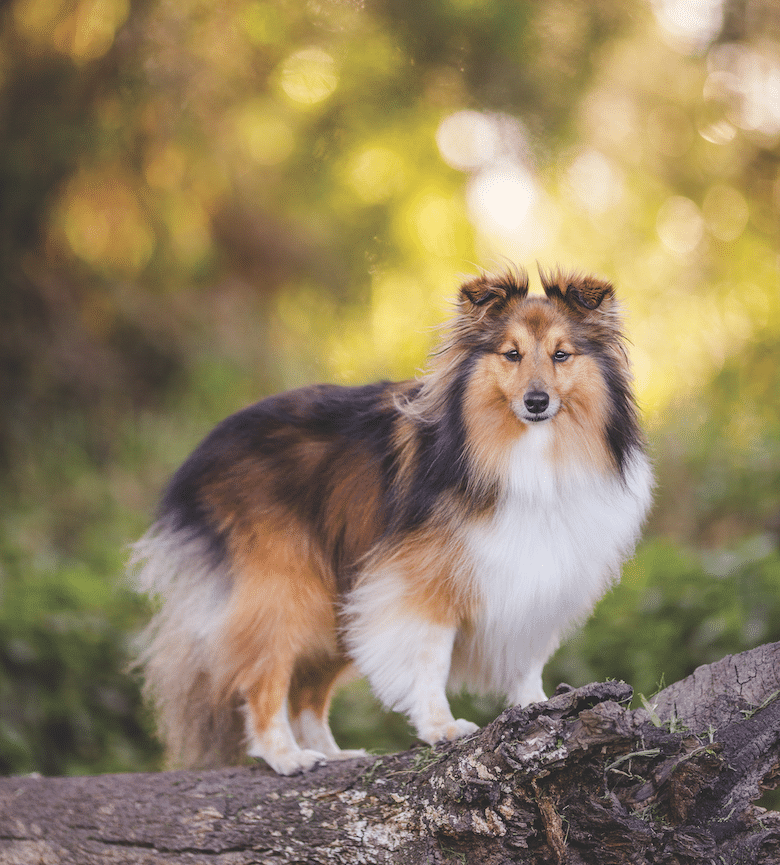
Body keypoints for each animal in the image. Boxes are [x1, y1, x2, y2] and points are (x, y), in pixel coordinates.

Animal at [133, 266, 652, 772]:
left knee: (307, 691)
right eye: (511, 354)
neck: (530, 453)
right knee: (263, 676)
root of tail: (204, 451)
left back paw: (332, 753)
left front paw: (536, 710)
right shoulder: (423, 581)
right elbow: (431, 659)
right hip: (289, 590)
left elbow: (527, 658)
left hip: (337, 596)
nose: (537, 401)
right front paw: (442, 727)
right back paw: (286, 755)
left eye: (562, 355)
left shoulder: (539, 576)